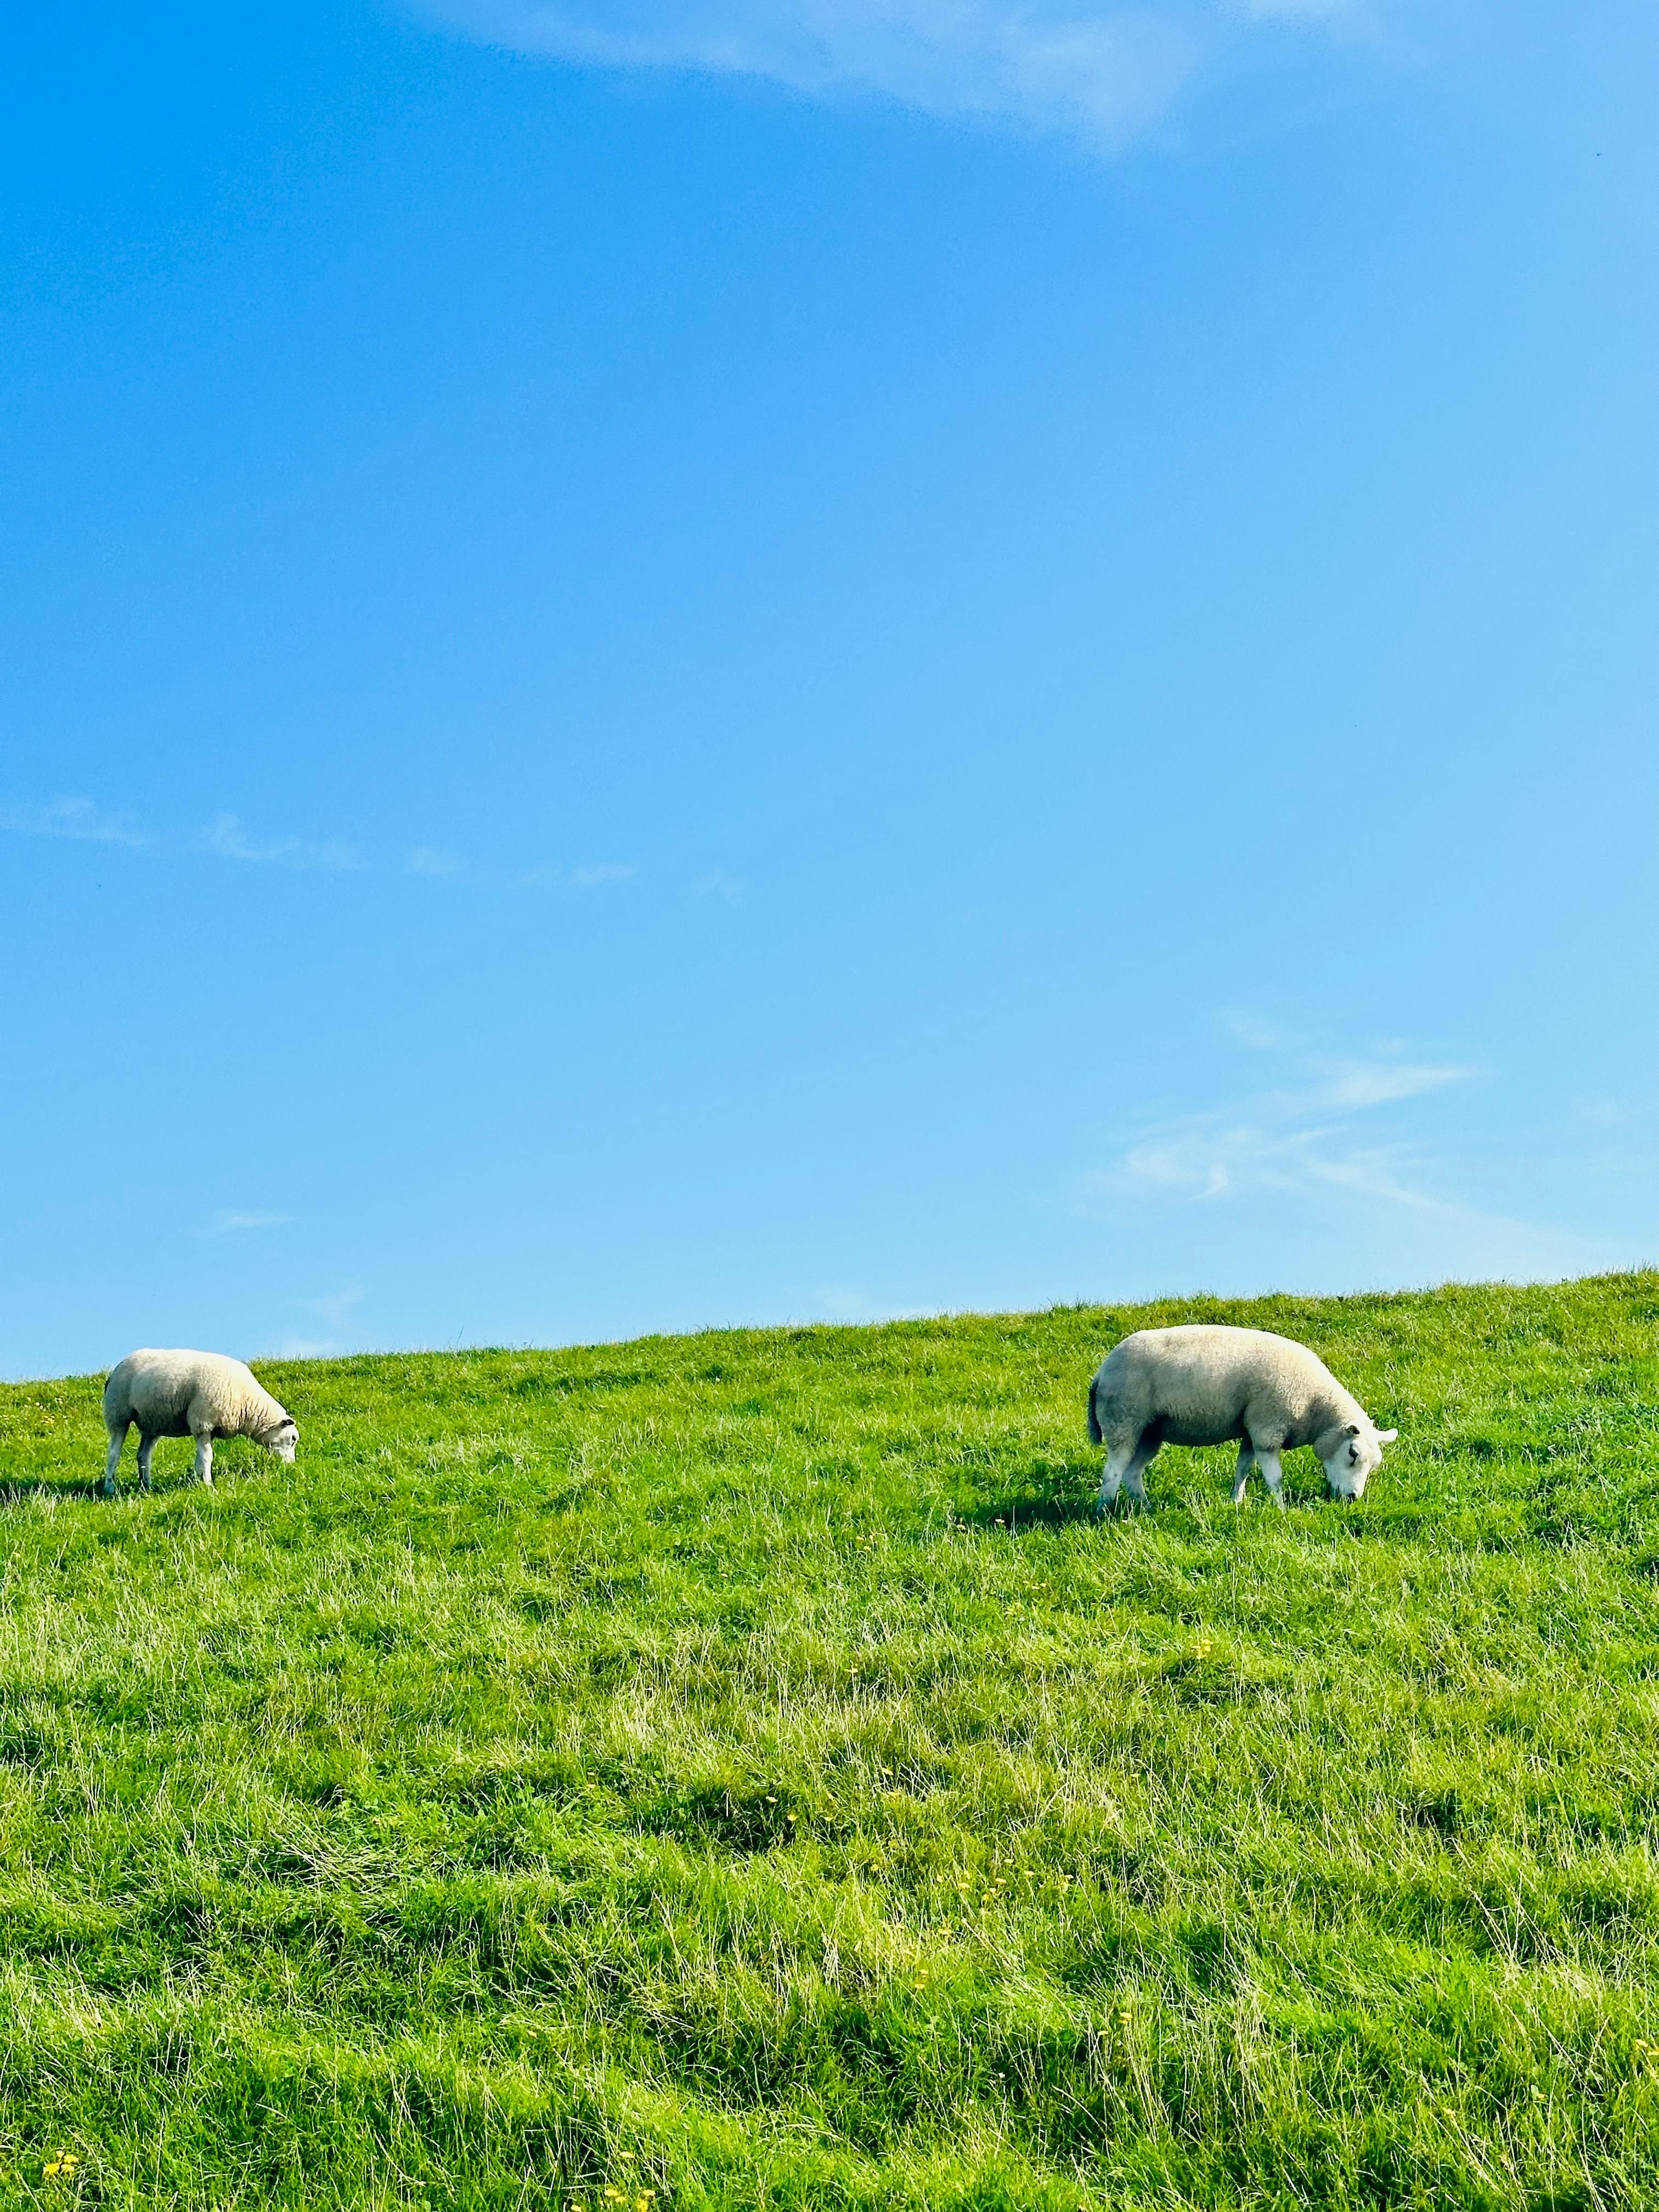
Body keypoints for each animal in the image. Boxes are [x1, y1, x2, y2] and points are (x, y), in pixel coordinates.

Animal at [101, 1349, 297, 1498]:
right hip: (118, 1413)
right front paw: (209, 1484)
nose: (292, 1465)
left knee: (143, 1455)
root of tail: (115, 1370)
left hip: (152, 1422)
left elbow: (199, 1459)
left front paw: (197, 1482)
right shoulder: (203, 1423)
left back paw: (146, 1486)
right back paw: (110, 1488)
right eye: (293, 1439)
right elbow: (207, 1457)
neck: (246, 1401)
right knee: (113, 1454)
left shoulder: (208, 1429)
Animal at [1086, 1324, 1397, 1513]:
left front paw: (1236, 1502)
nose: (1353, 1498)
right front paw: (1281, 1509)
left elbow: (1243, 1469)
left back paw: (1146, 1508)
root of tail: (1101, 1372)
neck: (1314, 1405)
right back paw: (1104, 1512)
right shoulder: (1267, 1428)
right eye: (1353, 1453)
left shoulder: (1251, 1428)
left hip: (1150, 1431)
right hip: (1123, 1420)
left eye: (1375, 1465)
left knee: (1131, 1472)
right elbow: (1275, 1478)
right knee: (1113, 1471)